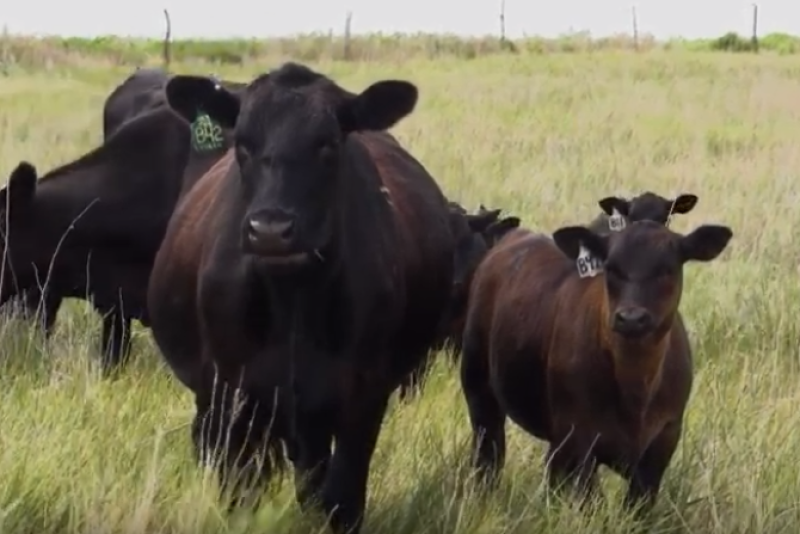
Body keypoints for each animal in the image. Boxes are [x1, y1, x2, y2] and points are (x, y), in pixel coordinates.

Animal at [146, 61, 457, 534]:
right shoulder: (232, 395)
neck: (292, 298)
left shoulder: (362, 399)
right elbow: (241, 496)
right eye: (243, 144)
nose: (271, 230)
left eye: (327, 143)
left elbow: (340, 501)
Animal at [460, 219, 732, 514]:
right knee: (489, 455)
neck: (636, 389)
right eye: (611, 268)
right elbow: (591, 502)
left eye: (667, 269)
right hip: (478, 388)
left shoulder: (664, 438)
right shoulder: (576, 437)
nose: (631, 318)